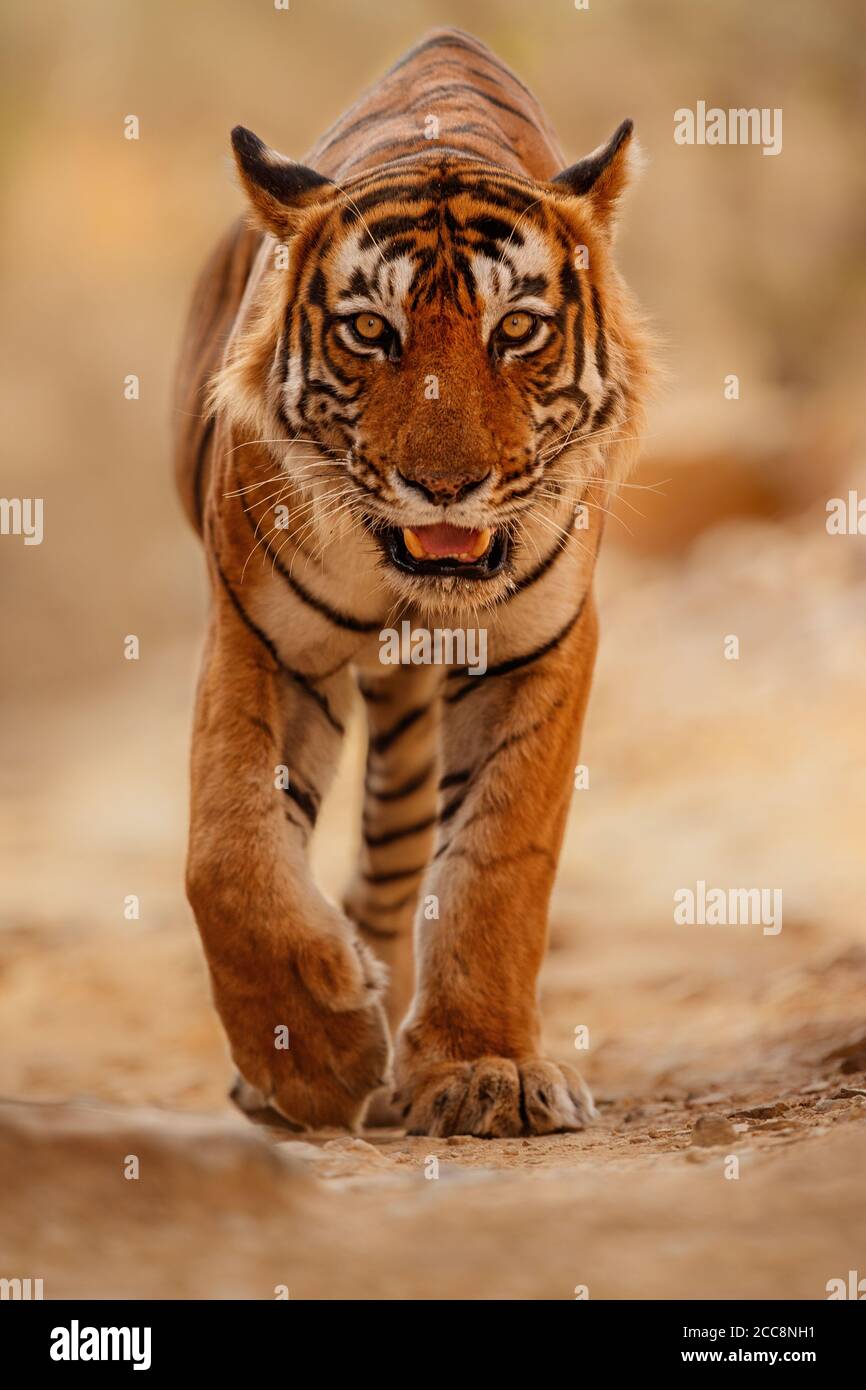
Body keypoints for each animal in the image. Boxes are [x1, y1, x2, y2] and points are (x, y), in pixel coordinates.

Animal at [173, 27, 651, 1138]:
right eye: (369, 332)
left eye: (515, 330)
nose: (445, 486)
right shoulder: (259, 635)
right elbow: (228, 853)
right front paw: (311, 1054)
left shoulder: (540, 643)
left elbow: (498, 864)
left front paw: (485, 1069)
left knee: (401, 871)